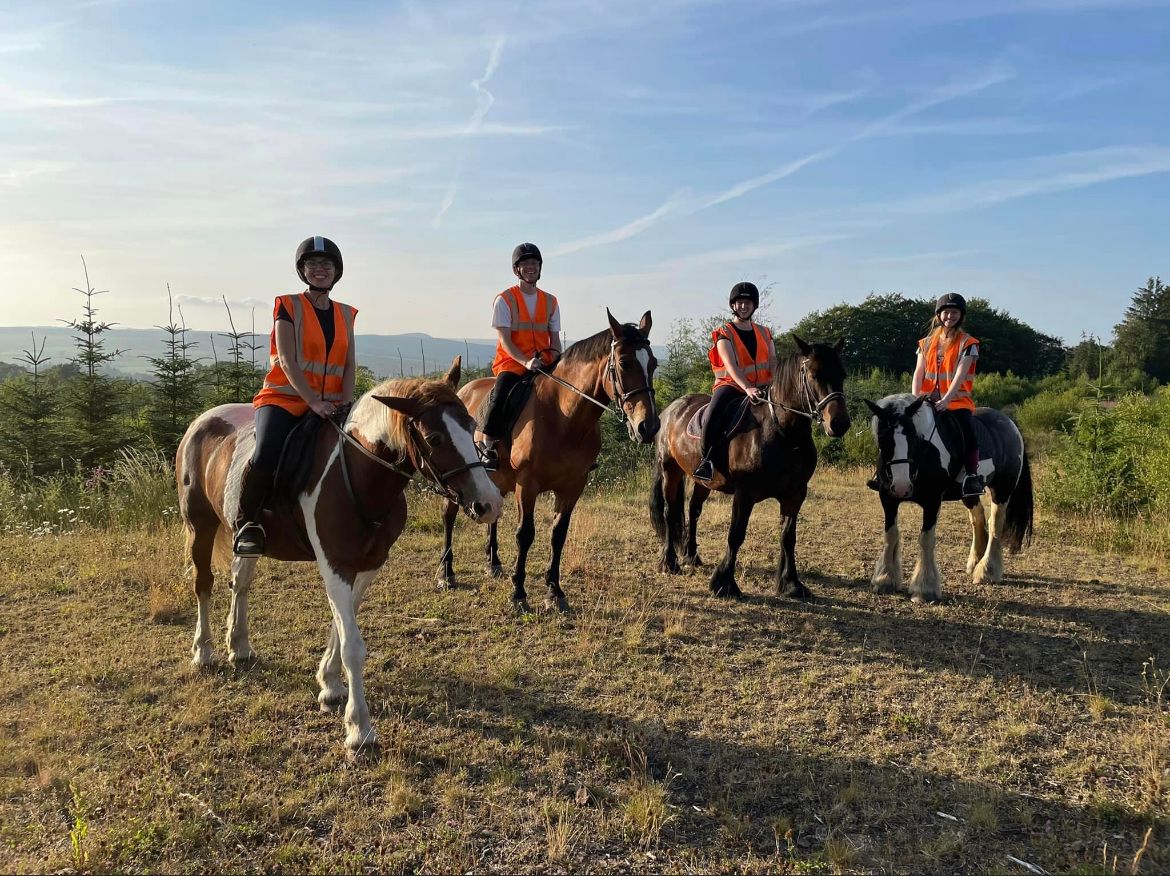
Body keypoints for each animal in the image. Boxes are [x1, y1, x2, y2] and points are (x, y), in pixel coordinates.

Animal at [175, 358, 502, 755]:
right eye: (435, 438)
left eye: (470, 427)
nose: (489, 503)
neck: (359, 475)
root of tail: (201, 421)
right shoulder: (335, 565)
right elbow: (353, 646)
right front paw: (359, 728)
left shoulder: (367, 565)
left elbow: (340, 626)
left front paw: (330, 684)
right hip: (200, 525)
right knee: (203, 584)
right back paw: (204, 652)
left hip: (244, 535)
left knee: (241, 582)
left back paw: (239, 646)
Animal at [439, 310, 659, 613]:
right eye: (625, 363)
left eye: (654, 364)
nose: (648, 427)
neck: (562, 415)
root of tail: (461, 391)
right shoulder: (527, 485)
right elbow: (525, 534)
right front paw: (519, 593)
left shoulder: (573, 486)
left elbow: (558, 534)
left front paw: (554, 591)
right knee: (448, 517)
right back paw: (447, 573)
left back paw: (493, 563)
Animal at [652, 337, 850, 599]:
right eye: (814, 375)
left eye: (842, 374)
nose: (839, 423)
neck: (783, 432)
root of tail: (670, 409)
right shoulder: (745, 493)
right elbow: (736, 534)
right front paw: (724, 583)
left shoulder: (796, 494)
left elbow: (788, 537)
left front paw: (791, 584)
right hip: (669, 470)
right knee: (669, 511)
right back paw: (669, 562)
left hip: (702, 480)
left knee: (693, 510)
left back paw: (692, 555)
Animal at [864, 393, 1034, 602]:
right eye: (882, 438)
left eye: (913, 437)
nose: (902, 486)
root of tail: (1010, 424)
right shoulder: (888, 498)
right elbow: (890, 535)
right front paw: (885, 580)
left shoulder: (932, 501)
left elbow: (926, 539)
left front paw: (924, 589)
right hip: (969, 494)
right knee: (978, 519)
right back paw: (975, 561)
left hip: (1002, 490)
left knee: (995, 524)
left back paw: (986, 571)